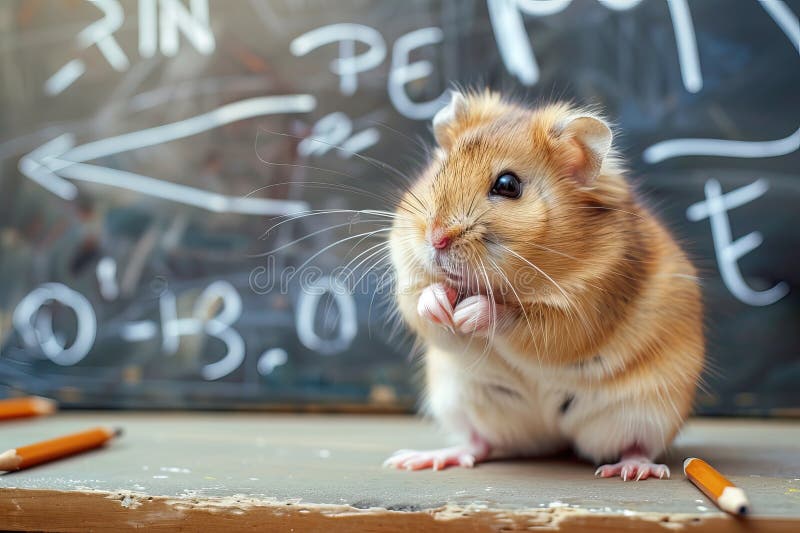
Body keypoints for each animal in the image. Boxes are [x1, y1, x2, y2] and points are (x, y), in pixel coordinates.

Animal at [383, 90, 704, 480]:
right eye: (439, 171)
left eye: (508, 185)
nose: (436, 238)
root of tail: (552, 438)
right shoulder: (407, 270)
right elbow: (420, 305)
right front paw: (441, 303)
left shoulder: (583, 310)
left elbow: (523, 320)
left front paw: (470, 312)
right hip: (460, 399)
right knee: (478, 443)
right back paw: (421, 458)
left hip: (648, 409)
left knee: (636, 445)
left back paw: (632, 470)